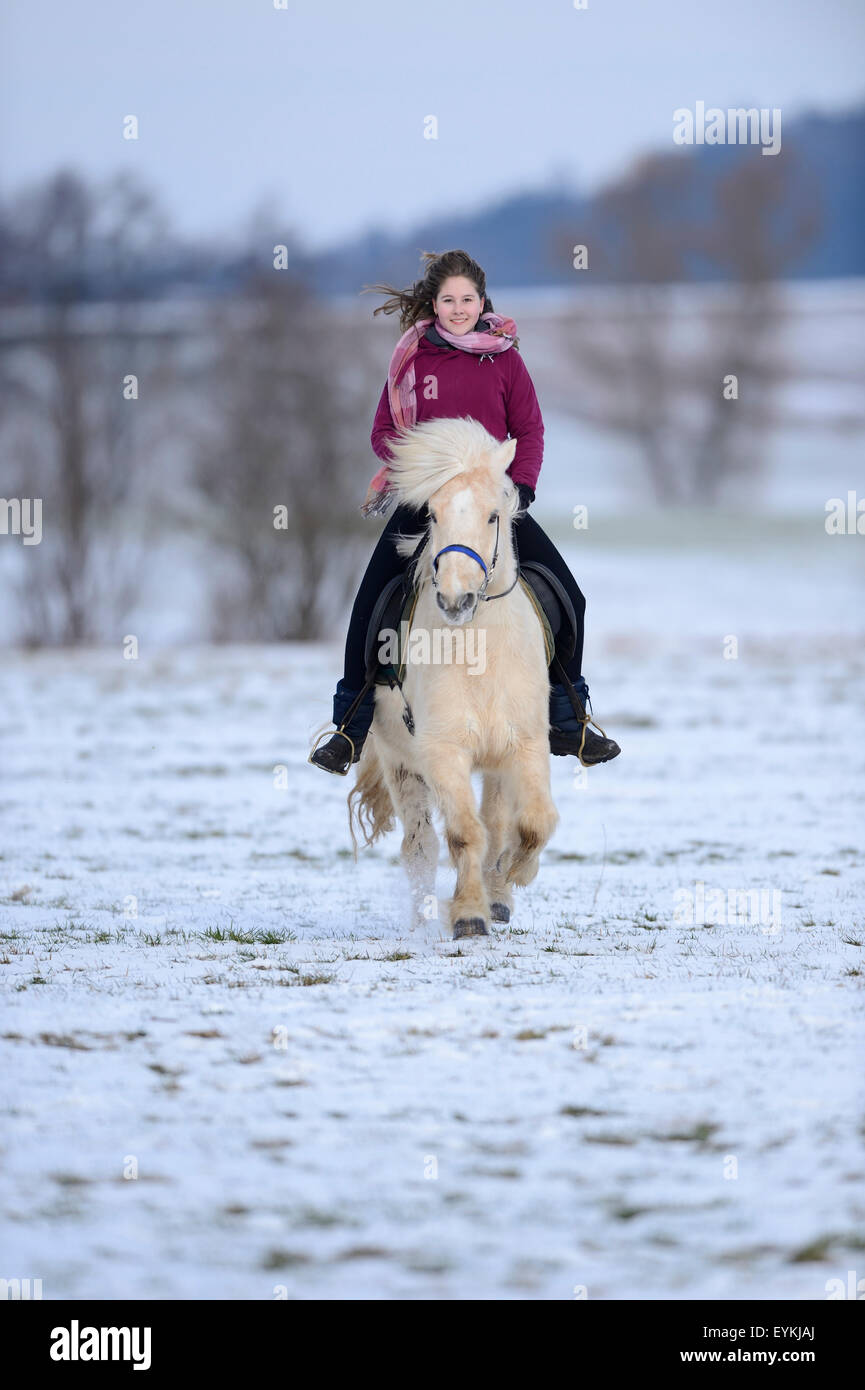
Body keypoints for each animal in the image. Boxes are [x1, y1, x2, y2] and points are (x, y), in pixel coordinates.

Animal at [347, 416, 560, 939]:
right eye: (434, 514)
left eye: (492, 516)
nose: (455, 599)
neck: (479, 653)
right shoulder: (443, 752)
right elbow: (463, 834)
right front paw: (466, 914)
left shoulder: (525, 746)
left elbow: (534, 823)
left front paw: (513, 876)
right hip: (400, 763)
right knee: (419, 846)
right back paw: (423, 921)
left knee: (499, 824)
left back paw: (499, 893)